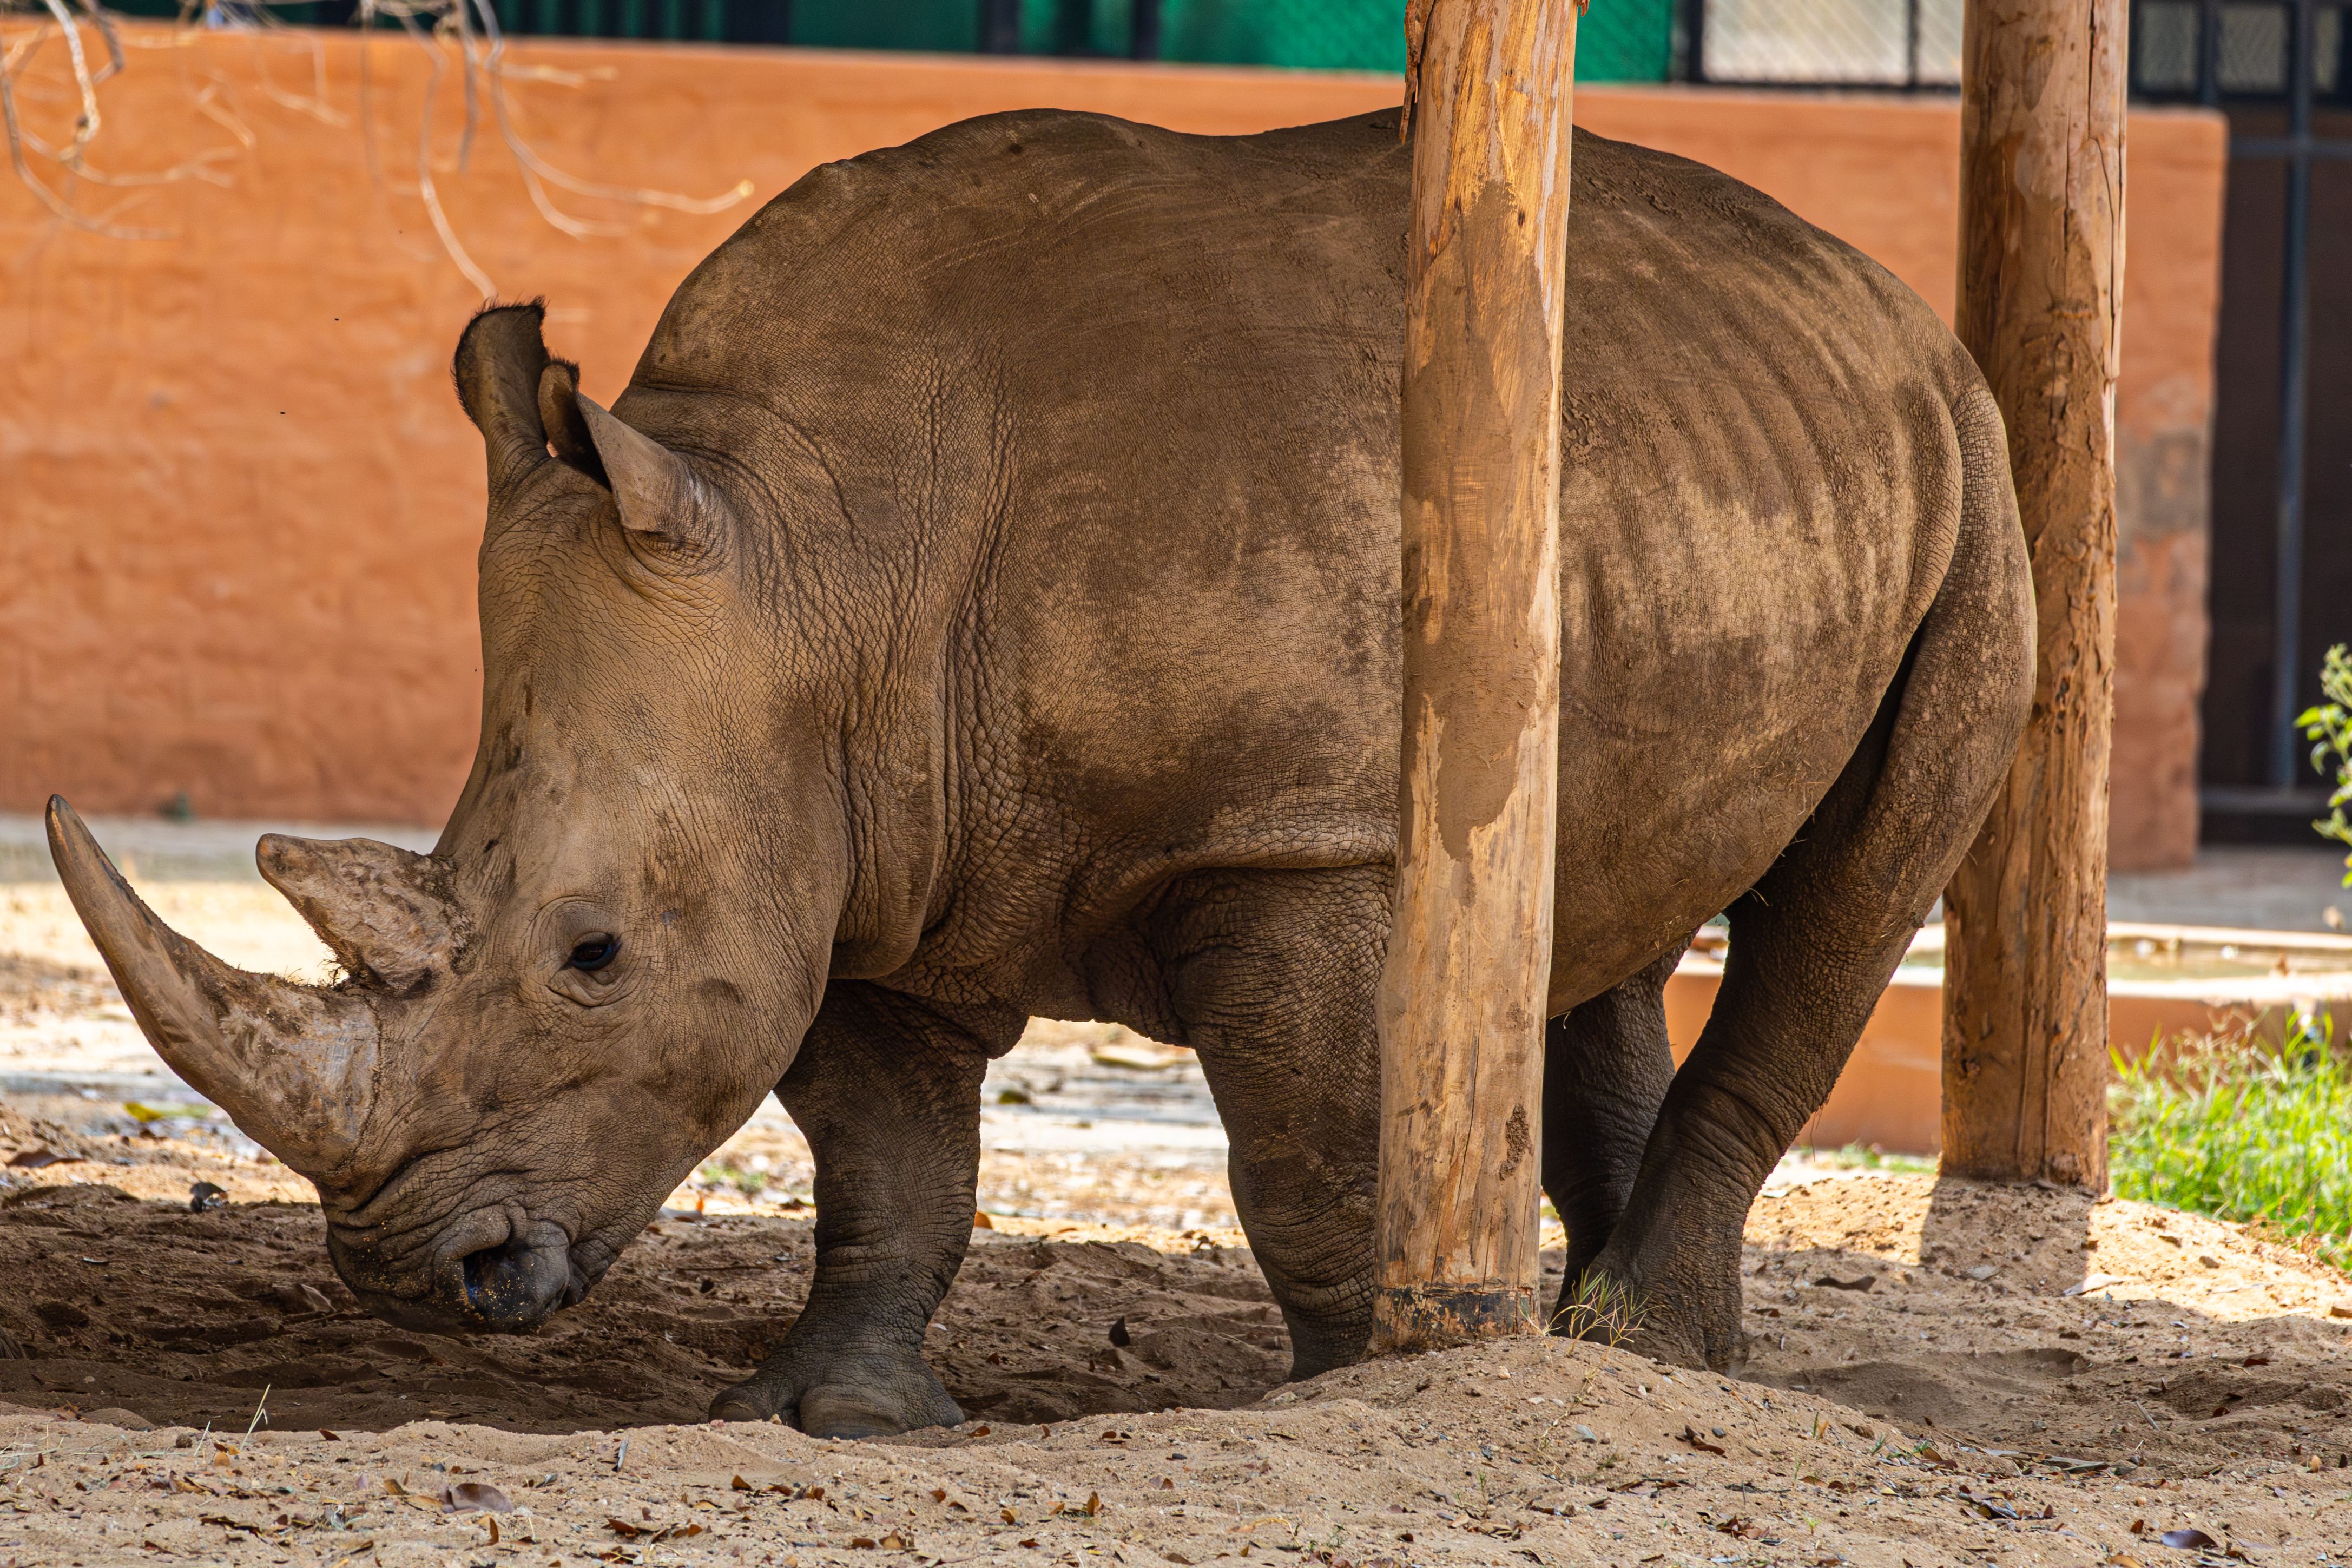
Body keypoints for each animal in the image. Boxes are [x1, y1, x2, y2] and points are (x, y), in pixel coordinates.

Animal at [48, 106, 2032, 1438]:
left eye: (592, 952)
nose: (413, 1276)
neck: (820, 546)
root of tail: (1869, 290)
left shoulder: (1295, 838)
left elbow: (1309, 1146)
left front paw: (1340, 1403)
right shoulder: (847, 844)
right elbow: (886, 1161)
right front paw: (828, 1416)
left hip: (1972, 469)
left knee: (1852, 889)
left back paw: (1632, 1349)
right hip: (1706, 471)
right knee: (1584, 897)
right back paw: (1631, 1355)